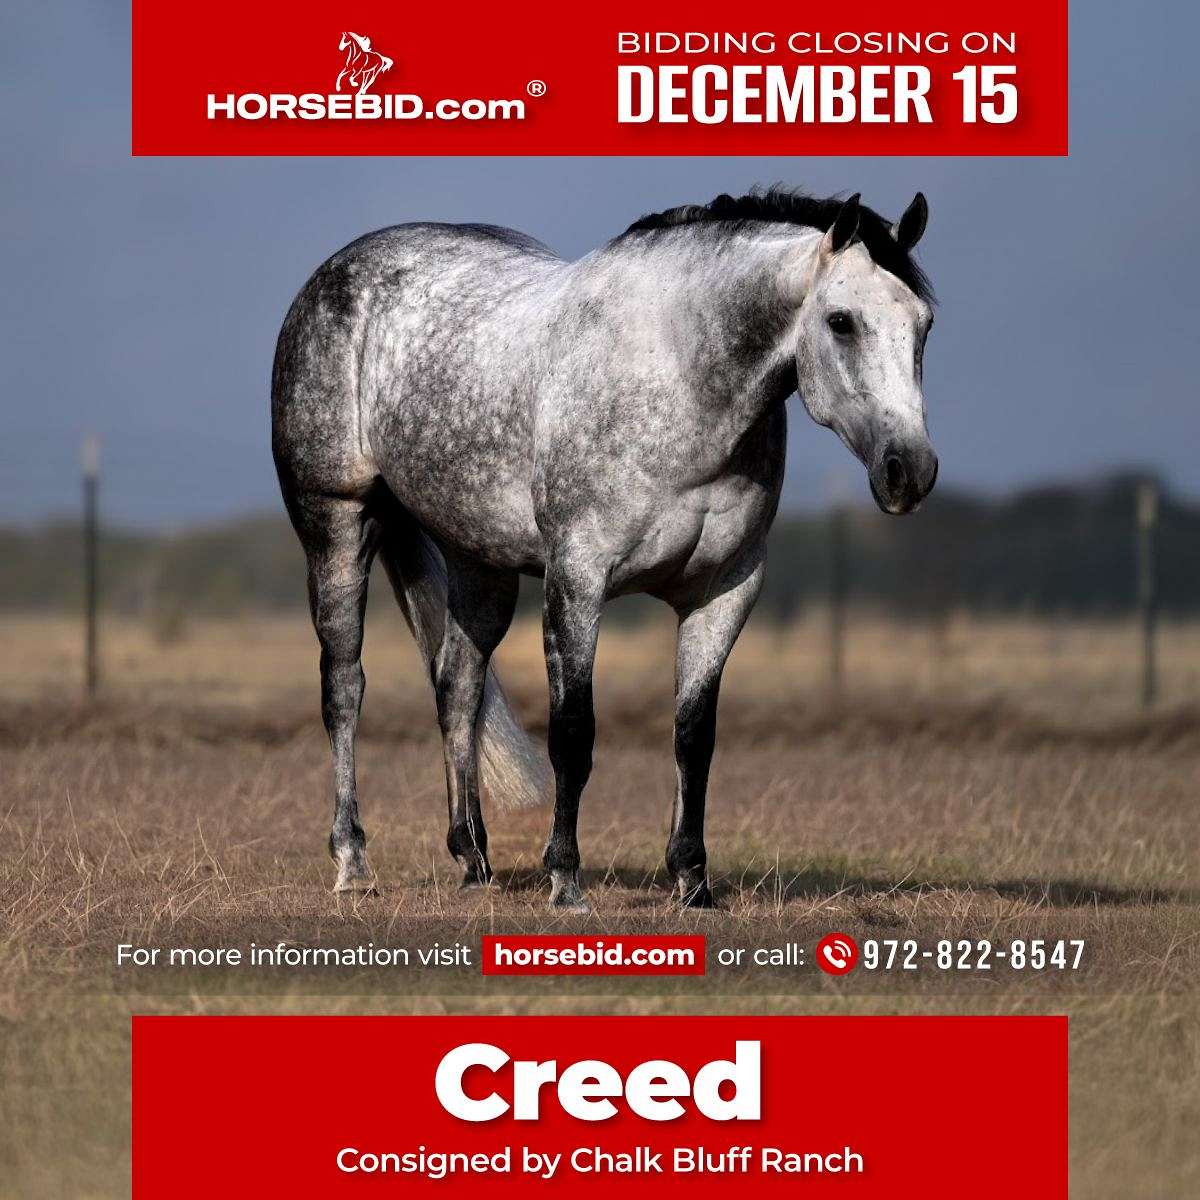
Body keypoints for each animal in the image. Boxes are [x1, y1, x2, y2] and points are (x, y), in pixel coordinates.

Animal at [271, 187, 937, 911]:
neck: (680, 379)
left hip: (480, 562)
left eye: (924, 324)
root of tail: (335, 274)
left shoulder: (724, 591)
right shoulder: (578, 579)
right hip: (337, 526)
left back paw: (475, 859)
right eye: (841, 321)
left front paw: (693, 881)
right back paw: (351, 861)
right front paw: (566, 879)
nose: (909, 472)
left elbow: (694, 736)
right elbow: (573, 732)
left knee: (457, 687)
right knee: (343, 686)